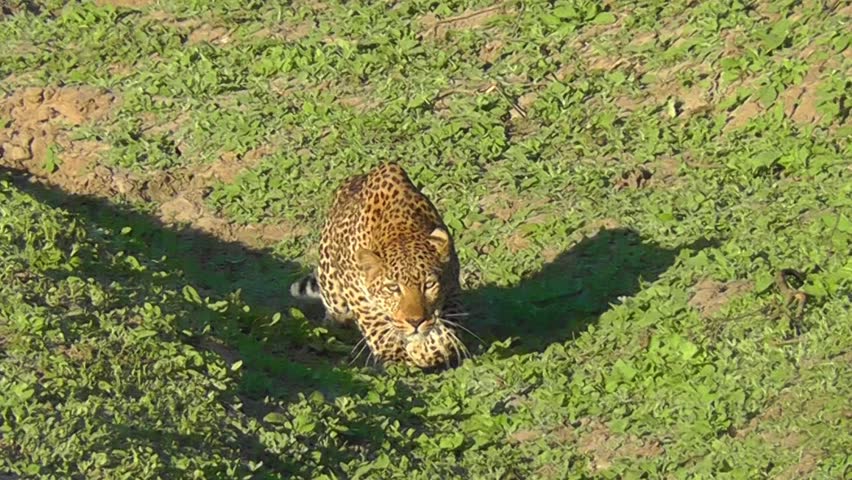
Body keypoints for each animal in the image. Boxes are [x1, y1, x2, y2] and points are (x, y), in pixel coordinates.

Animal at [290, 162, 468, 369]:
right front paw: (399, 356)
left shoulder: (452, 287)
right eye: (393, 288)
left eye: (429, 285)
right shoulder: (360, 297)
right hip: (334, 293)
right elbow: (380, 333)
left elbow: (447, 336)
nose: (415, 322)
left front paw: (425, 348)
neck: (401, 230)